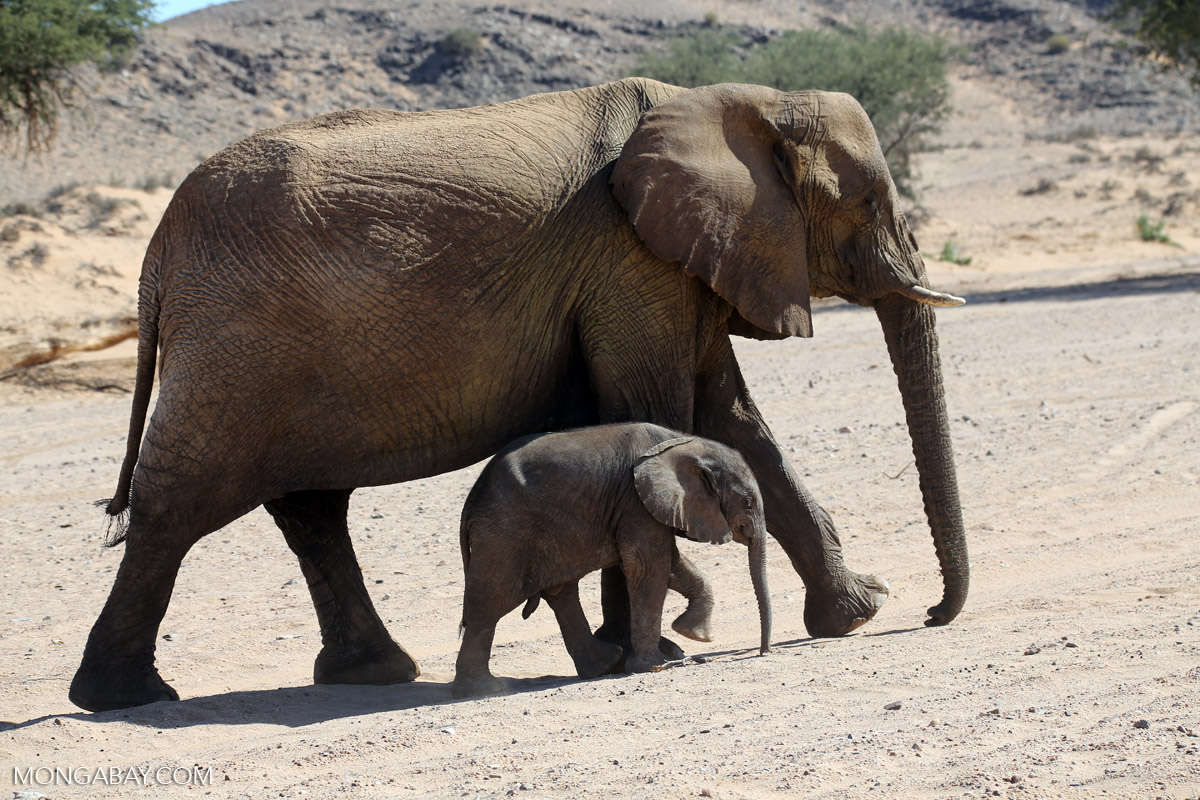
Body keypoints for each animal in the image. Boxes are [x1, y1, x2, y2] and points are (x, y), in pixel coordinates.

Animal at [453, 422, 772, 698]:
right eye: (747, 503)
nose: (763, 652)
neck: (685, 443)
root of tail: (471, 501)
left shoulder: (647, 505)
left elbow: (669, 564)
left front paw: (693, 633)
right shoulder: (636, 500)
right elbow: (647, 566)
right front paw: (658, 664)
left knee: (560, 592)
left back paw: (605, 664)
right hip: (504, 533)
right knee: (489, 604)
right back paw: (486, 689)